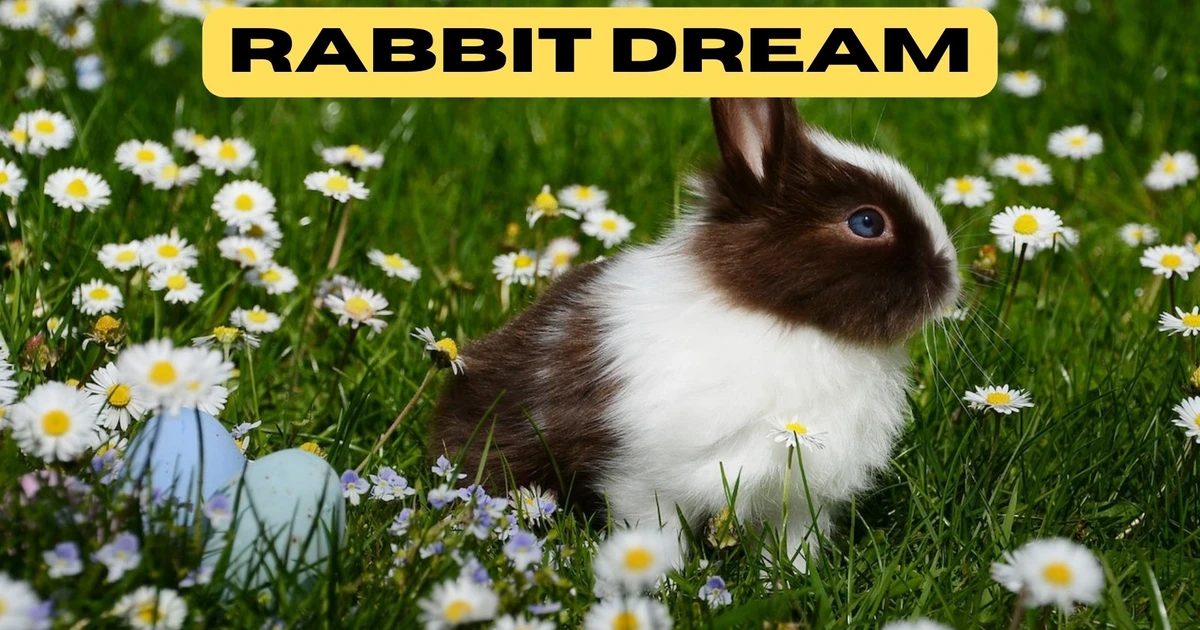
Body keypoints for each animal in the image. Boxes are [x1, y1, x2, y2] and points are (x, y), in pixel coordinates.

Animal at [427, 97, 960, 570]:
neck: (783, 320)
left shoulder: (799, 497)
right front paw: (660, 587)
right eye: (867, 222)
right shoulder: (643, 480)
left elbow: (791, 549)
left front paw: (785, 586)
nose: (950, 279)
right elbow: (654, 537)